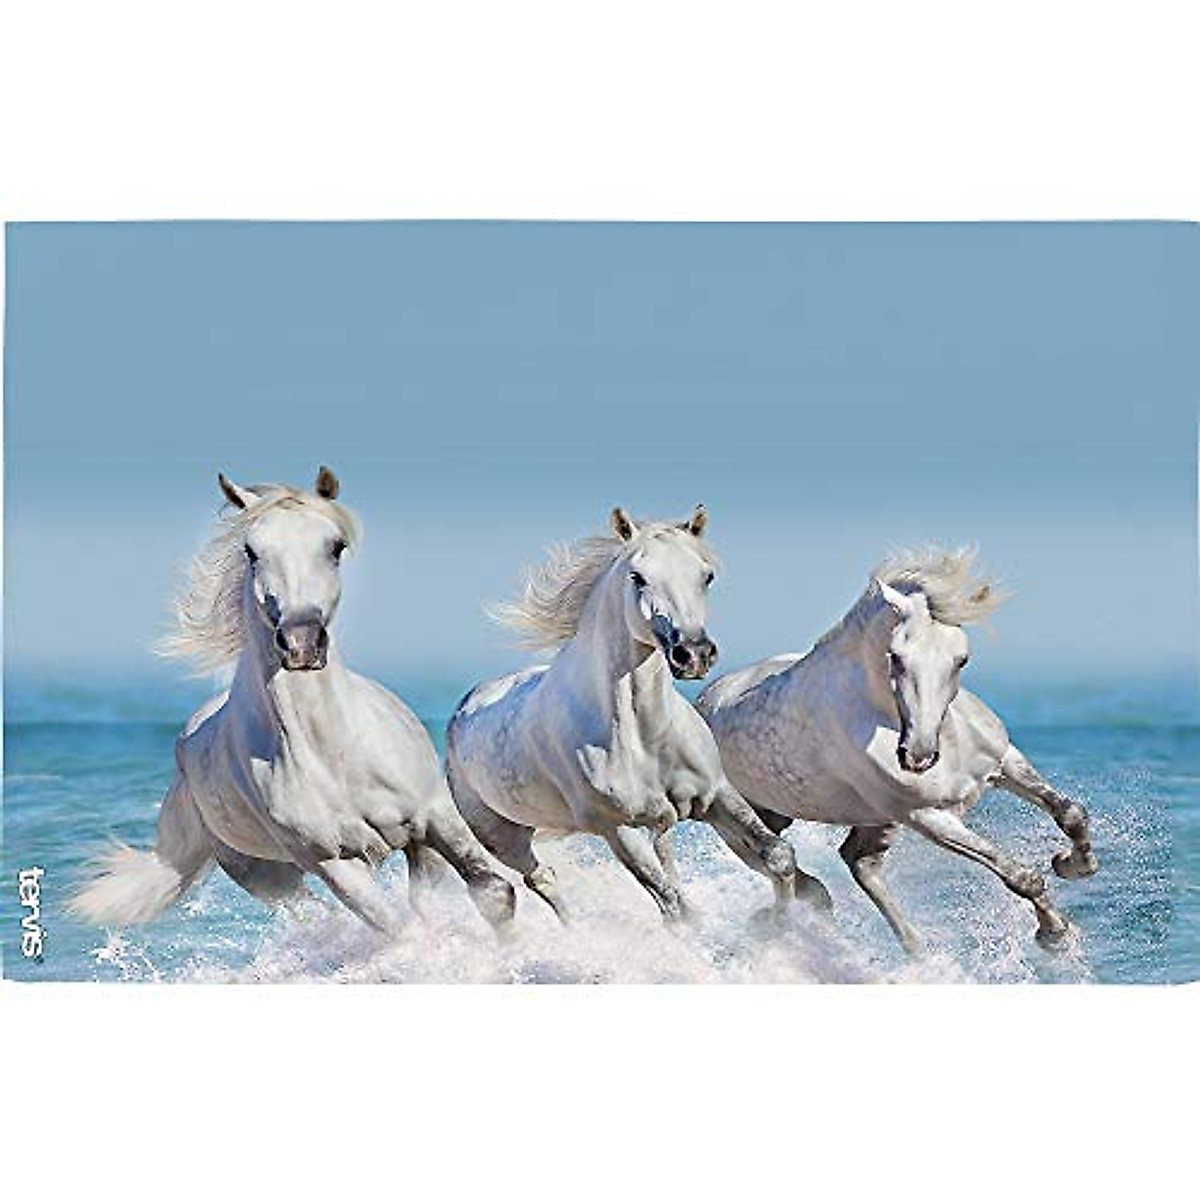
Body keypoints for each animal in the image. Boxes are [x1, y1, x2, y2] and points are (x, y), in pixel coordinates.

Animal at [69, 467, 515, 936]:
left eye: (335, 546)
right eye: (251, 551)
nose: (301, 642)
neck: (334, 754)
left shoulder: (432, 822)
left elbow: (494, 894)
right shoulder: (334, 865)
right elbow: (406, 928)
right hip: (269, 876)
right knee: (319, 916)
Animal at [445, 505, 831, 923]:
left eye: (706, 575)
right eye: (638, 577)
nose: (693, 654)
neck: (644, 735)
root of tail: (468, 703)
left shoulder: (717, 794)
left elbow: (778, 856)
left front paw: (786, 923)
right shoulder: (618, 830)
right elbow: (673, 907)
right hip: (503, 837)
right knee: (540, 878)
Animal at [697, 547, 1099, 954]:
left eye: (962, 659)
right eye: (895, 656)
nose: (917, 756)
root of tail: (704, 701)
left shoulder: (1003, 762)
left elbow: (1071, 813)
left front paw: (1073, 865)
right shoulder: (926, 816)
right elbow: (1017, 874)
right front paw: (1056, 933)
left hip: (865, 818)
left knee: (859, 862)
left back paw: (913, 947)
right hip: (739, 817)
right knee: (781, 860)